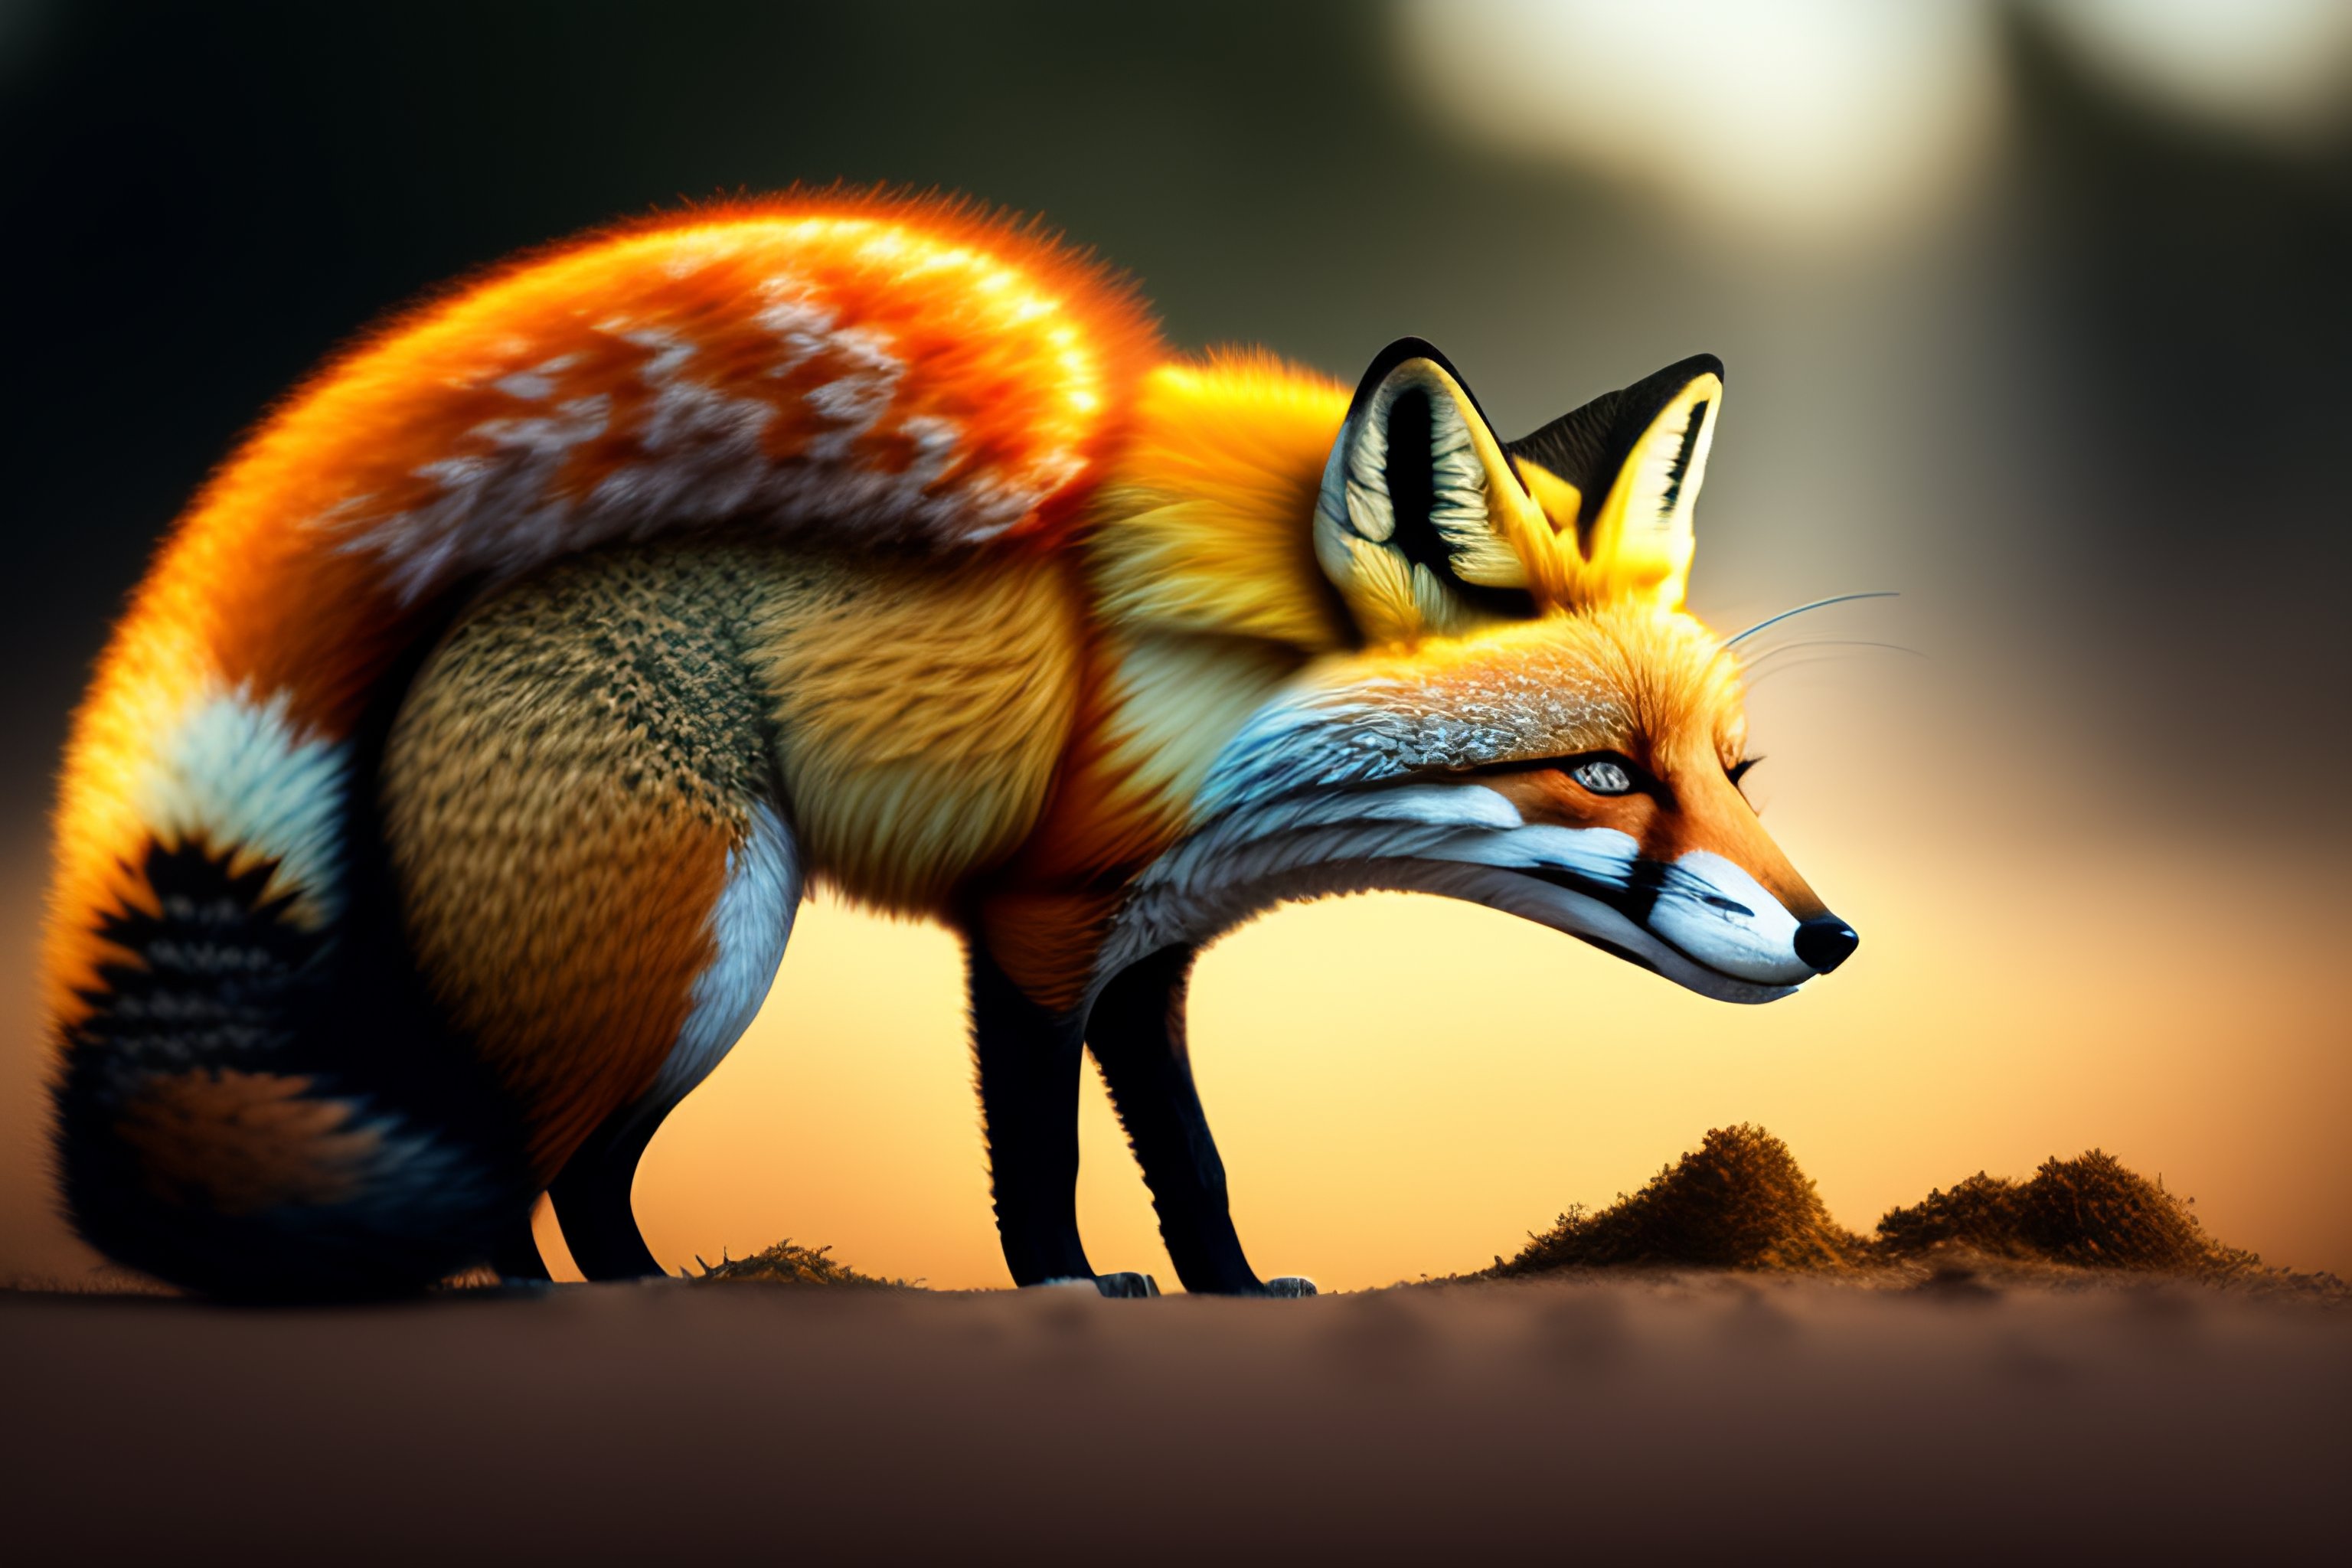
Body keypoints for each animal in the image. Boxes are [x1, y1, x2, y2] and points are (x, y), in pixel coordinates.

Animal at [45, 193, 1858, 1300]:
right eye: (1605, 772)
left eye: (1736, 774)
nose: (1833, 939)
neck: (1195, 720)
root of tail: (440, 645)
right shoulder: (1033, 932)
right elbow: (1040, 1154)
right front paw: (1064, 1286)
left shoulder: (1149, 957)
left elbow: (1191, 1160)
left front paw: (1227, 1287)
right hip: (694, 959)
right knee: (518, 1168)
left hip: (683, 990)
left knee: (579, 1173)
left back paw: (650, 1290)